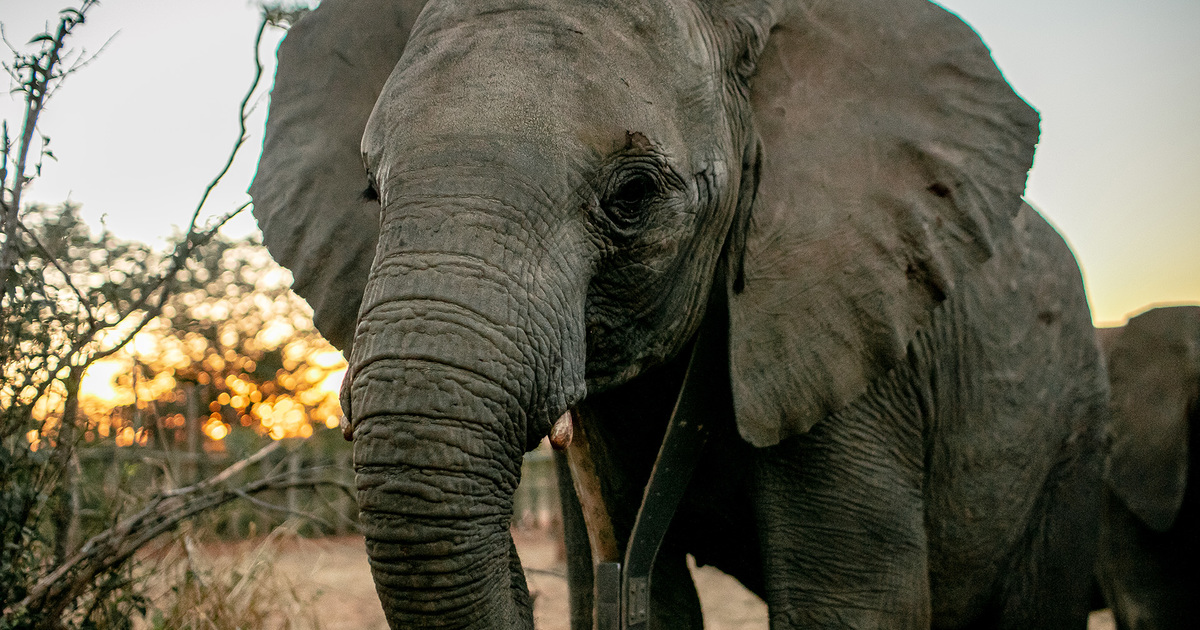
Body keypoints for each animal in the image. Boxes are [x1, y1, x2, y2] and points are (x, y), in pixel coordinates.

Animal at [248, 0, 1109, 627]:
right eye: (371, 190)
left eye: (632, 195)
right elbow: (645, 598)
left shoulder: (854, 333)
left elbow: (850, 604)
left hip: (1075, 432)